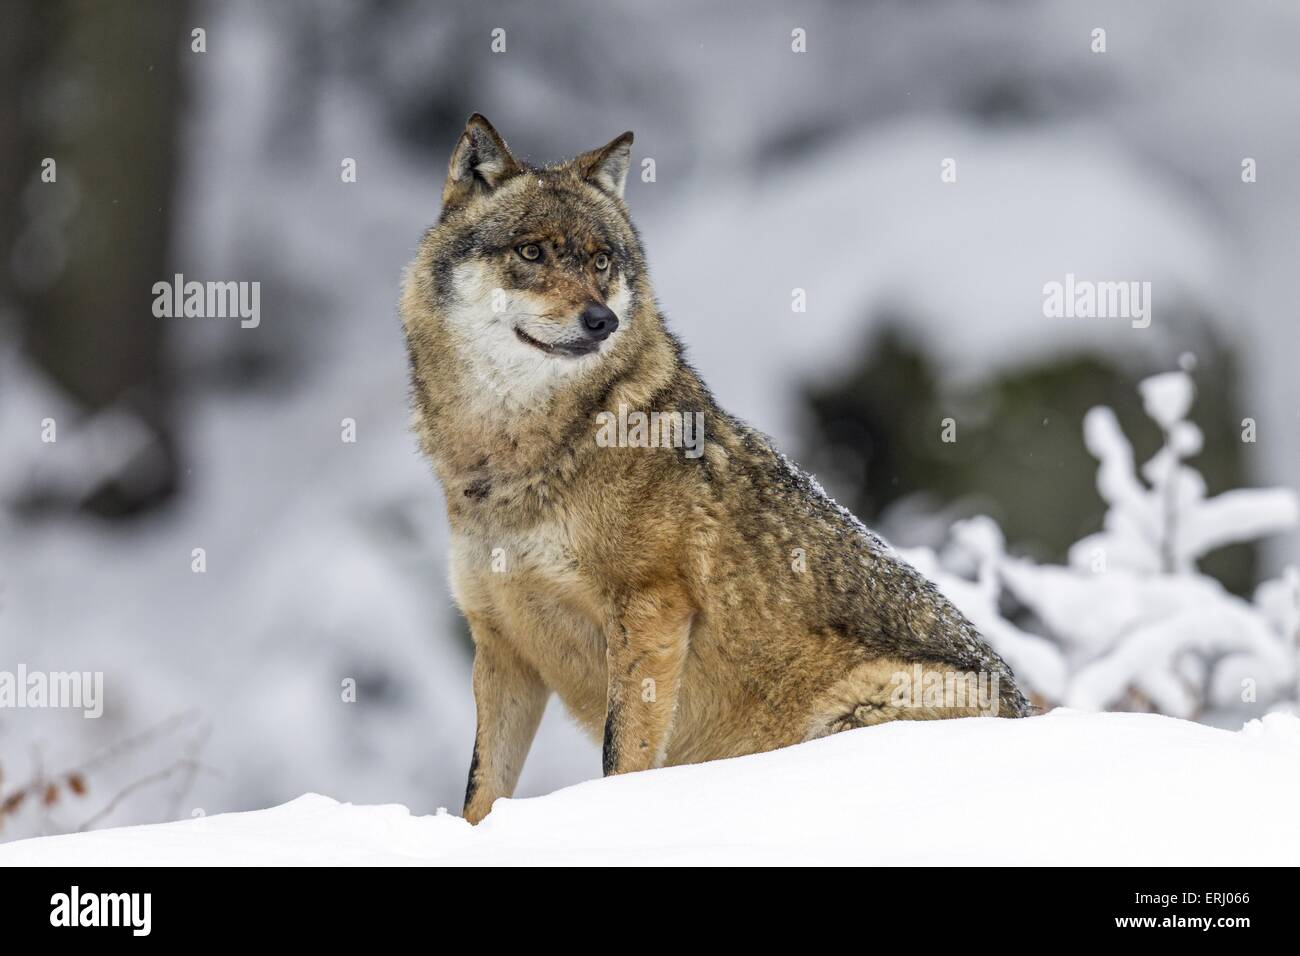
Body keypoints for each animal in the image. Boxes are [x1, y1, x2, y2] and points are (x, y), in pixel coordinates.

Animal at [401, 114, 1030, 823]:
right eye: (531, 253)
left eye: (601, 261)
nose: (602, 320)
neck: (517, 459)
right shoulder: (501, 644)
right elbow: (481, 790)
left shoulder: (650, 612)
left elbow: (622, 757)